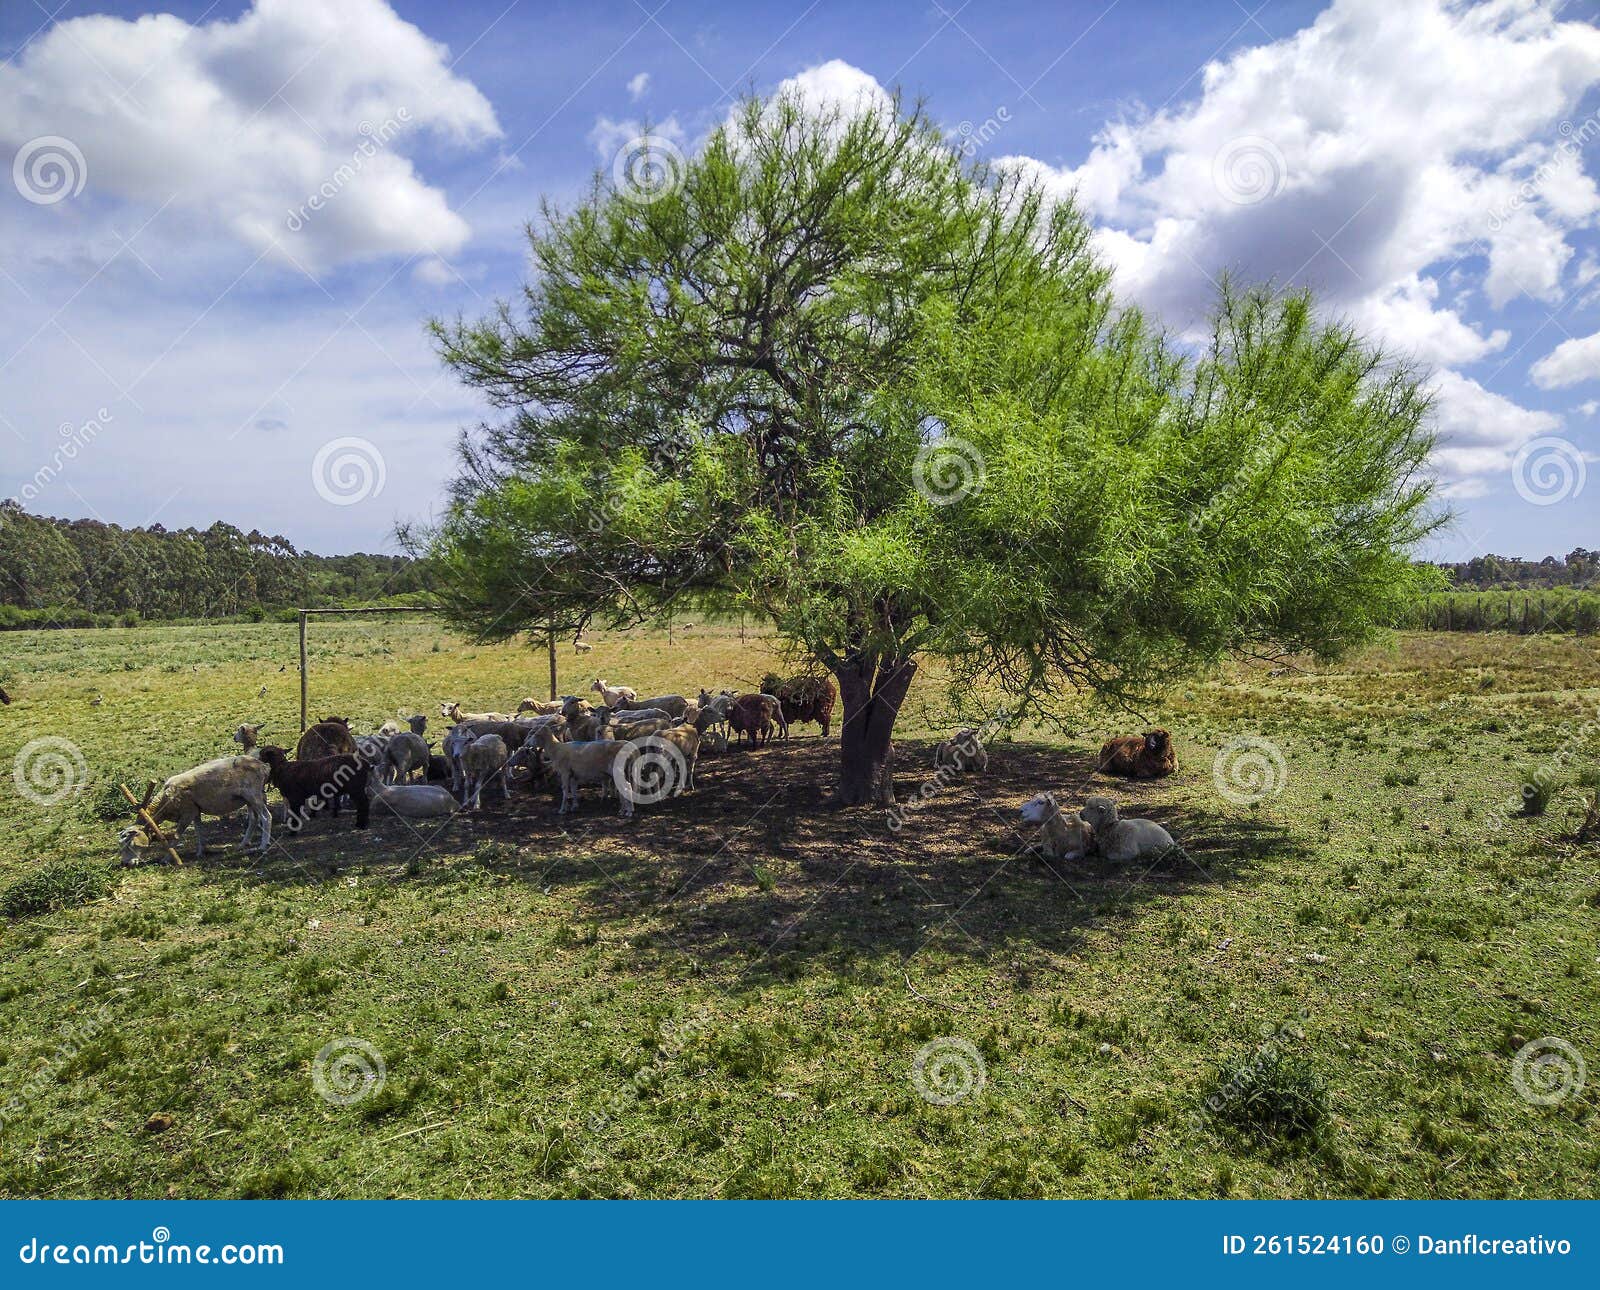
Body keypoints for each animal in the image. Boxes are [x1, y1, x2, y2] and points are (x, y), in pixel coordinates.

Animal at [117, 756, 273, 862]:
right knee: (254, 819)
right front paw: (200, 852)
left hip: (253, 795)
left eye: (130, 844)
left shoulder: (187, 812)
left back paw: (263, 845)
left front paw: (167, 858)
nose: (125, 863)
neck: (165, 802)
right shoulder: (195, 811)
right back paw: (243, 844)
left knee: (266, 817)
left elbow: (176, 836)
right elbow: (199, 831)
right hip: (248, 799)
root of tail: (264, 766)